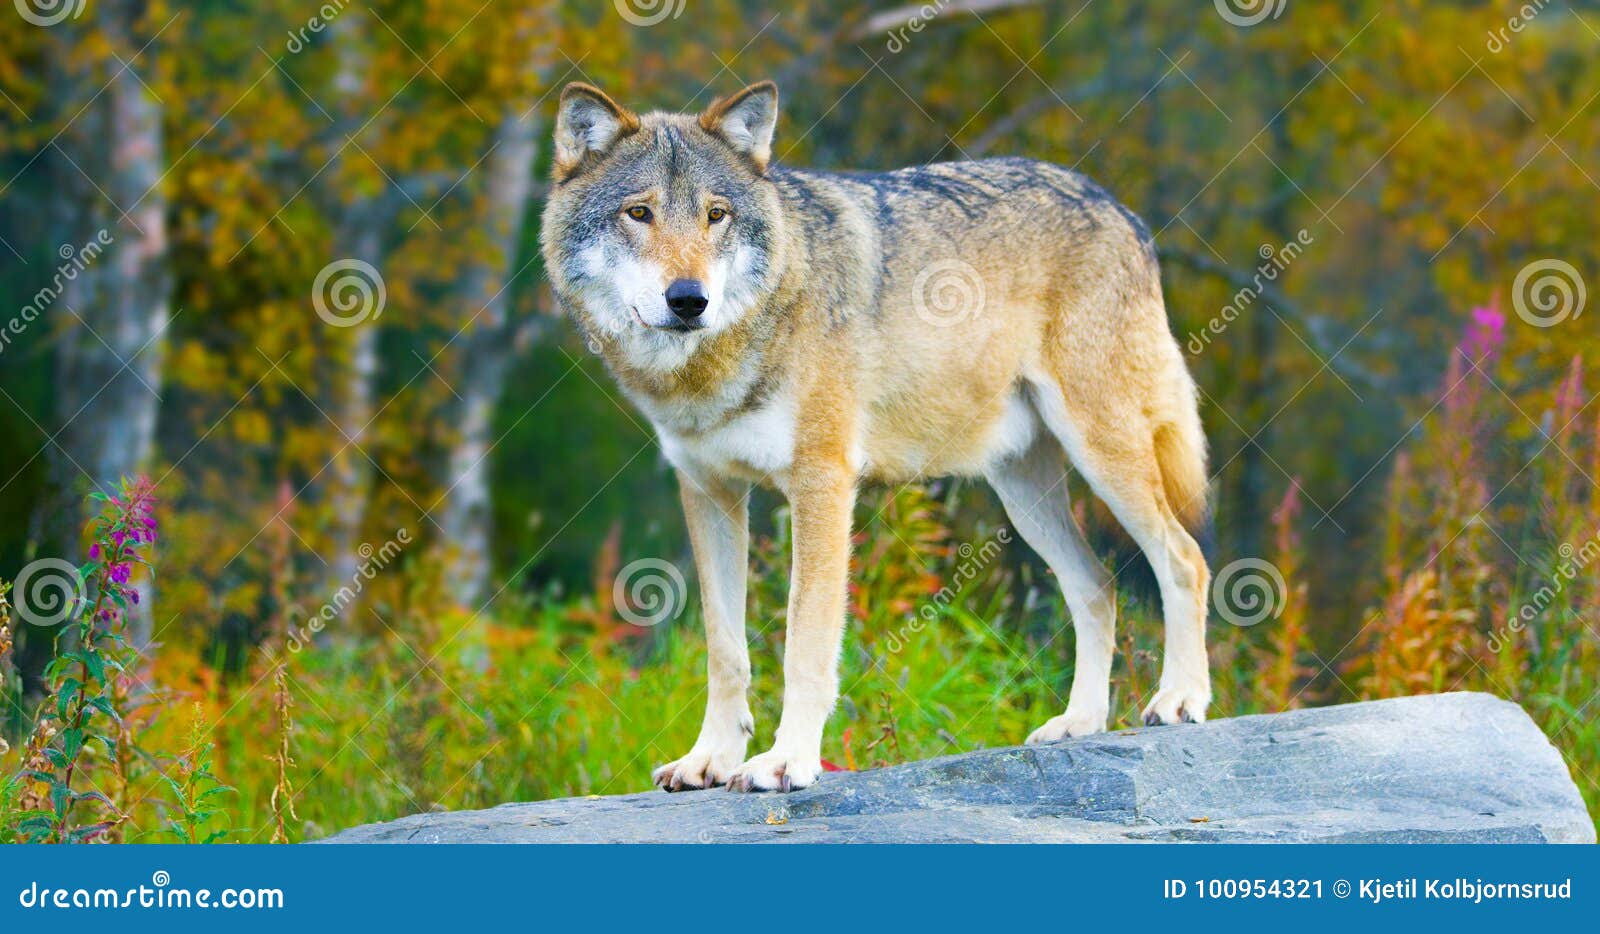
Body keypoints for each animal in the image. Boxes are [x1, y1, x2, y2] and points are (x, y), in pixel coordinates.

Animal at [540, 81, 1212, 793]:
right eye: (638, 213)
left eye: (715, 215)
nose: (689, 299)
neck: (717, 363)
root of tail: (1120, 210)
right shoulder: (708, 490)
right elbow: (726, 651)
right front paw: (710, 759)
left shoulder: (823, 484)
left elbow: (805, 642)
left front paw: (786, 760)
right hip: (1024, 494)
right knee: (1098, 586)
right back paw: (1079, 723)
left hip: (1103, 457)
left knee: (1185, 559)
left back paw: (1180, 700)